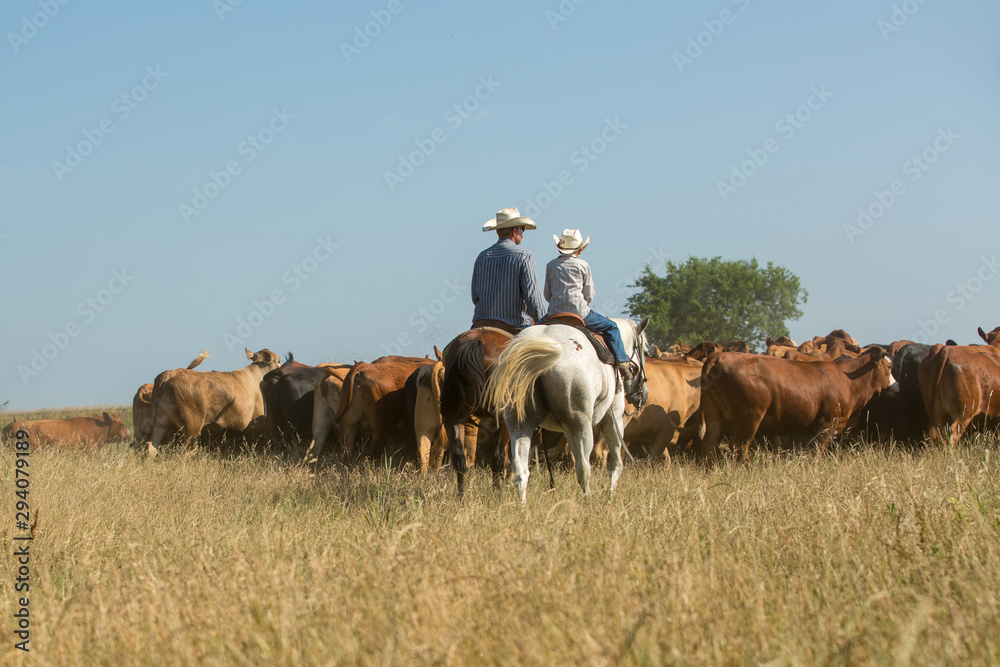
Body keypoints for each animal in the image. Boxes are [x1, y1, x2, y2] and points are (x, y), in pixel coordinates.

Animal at [147, 348, 282, 455]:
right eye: (279, 361)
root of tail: (170, 374)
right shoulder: (257, 424)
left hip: (161, 422)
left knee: (151, 447)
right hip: (191, 427)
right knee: (185, 450)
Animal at [700, 348, 895, 461]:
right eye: (889, 367)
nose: (896, 385)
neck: (845, 378)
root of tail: (718, 357)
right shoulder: (828, 423)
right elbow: (817, 450)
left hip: (713, 417)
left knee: (709, 444)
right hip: (749, 418)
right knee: (740, 446)